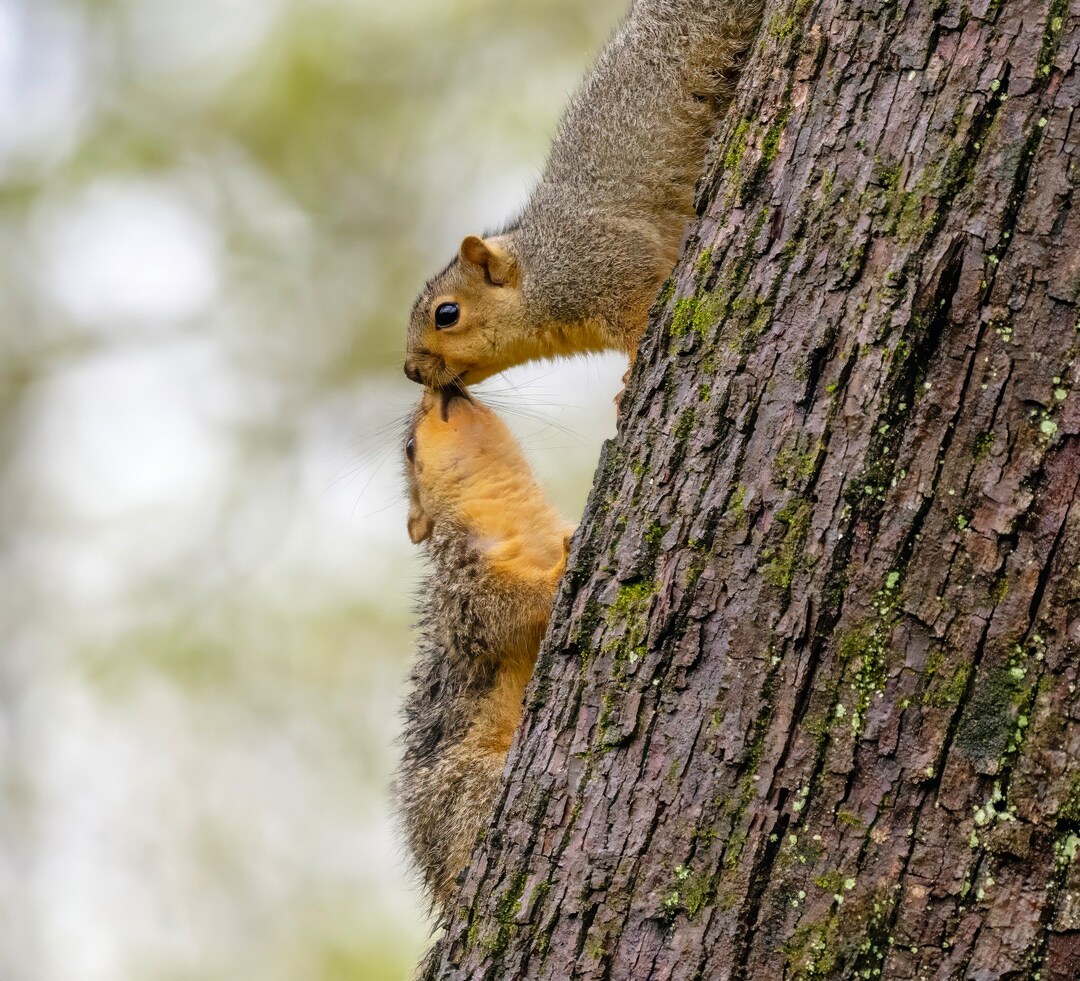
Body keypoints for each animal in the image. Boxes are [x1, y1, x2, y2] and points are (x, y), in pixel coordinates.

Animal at [395, 383, 573, 912]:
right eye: (409, 447)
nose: (439, 389)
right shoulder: (463, 586)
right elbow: (502, 613)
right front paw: (557, 574)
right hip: (470, 785)